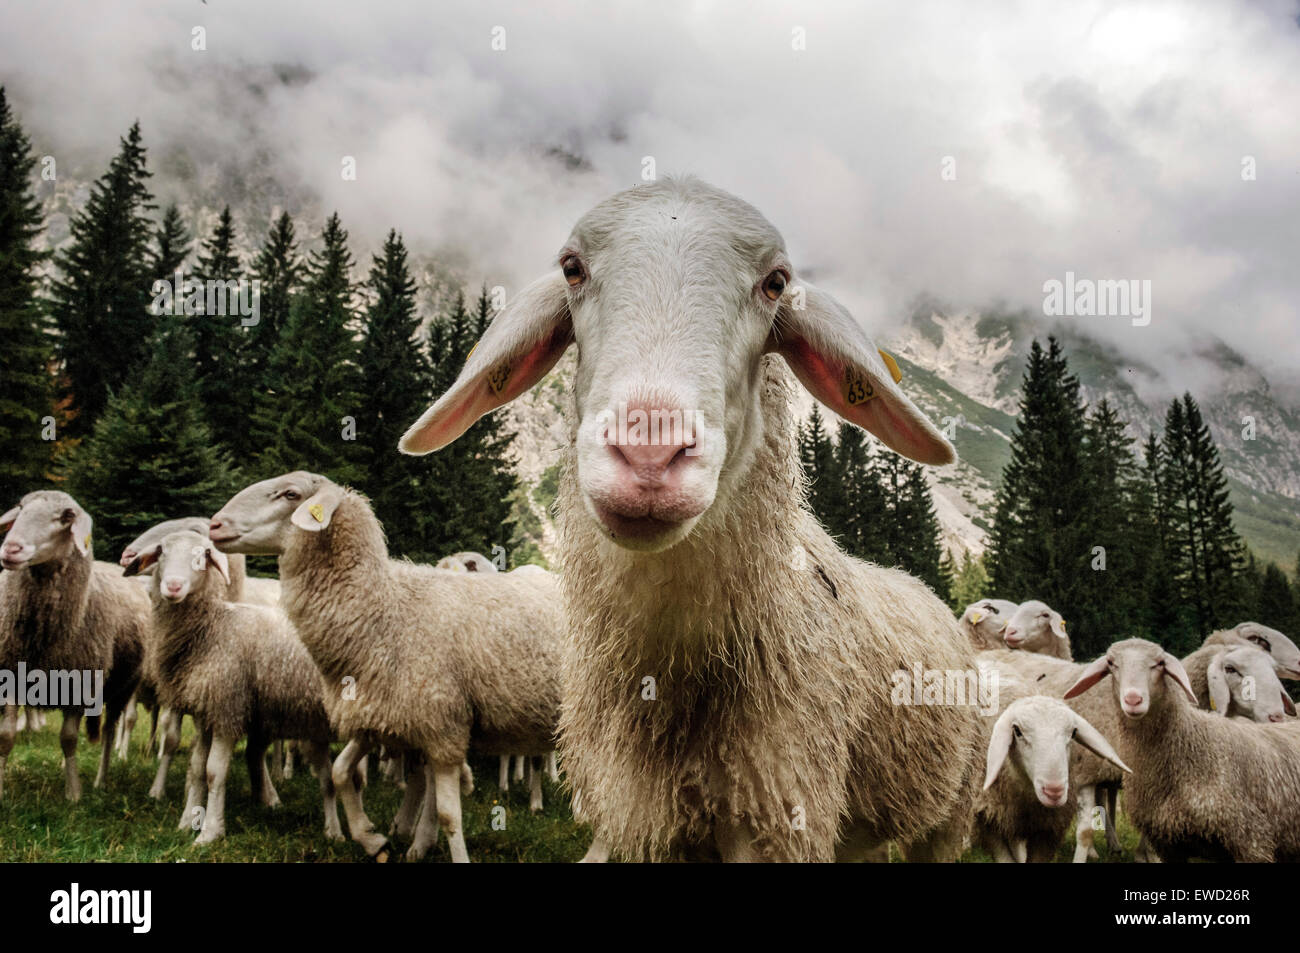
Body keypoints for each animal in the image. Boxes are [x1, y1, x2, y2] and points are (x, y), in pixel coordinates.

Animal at [0, 491, 146, 801]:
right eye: (20, 508)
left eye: (67, 516)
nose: (11, 549)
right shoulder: (10, 677)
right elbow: (6, 736)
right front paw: (1, 787)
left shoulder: (80, 686)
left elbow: (68, 739)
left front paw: (74, 793)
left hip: (121, 689)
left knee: (109, 732)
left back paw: (100, 781)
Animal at [125, 529, 341, 844]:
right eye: (161, 551)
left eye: (204, 555)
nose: (173, 586)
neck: (213, 627)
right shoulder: (206, 711)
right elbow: (196, 767)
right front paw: (187, 821)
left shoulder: (228, 706)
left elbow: (214, 772)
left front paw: (210, 833)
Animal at [209, 473, 565, 861]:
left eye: (291, 494)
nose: (214, 525)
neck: (386, 609)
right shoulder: (382, 714)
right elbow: (340, 772)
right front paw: (373, 839)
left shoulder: (444, 727)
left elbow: (449, 813)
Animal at [400, 177, 982, 862]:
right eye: (572, 268)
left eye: (775, 282)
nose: (649, 453)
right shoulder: (646, 820)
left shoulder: (779, 814)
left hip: (945, 812)